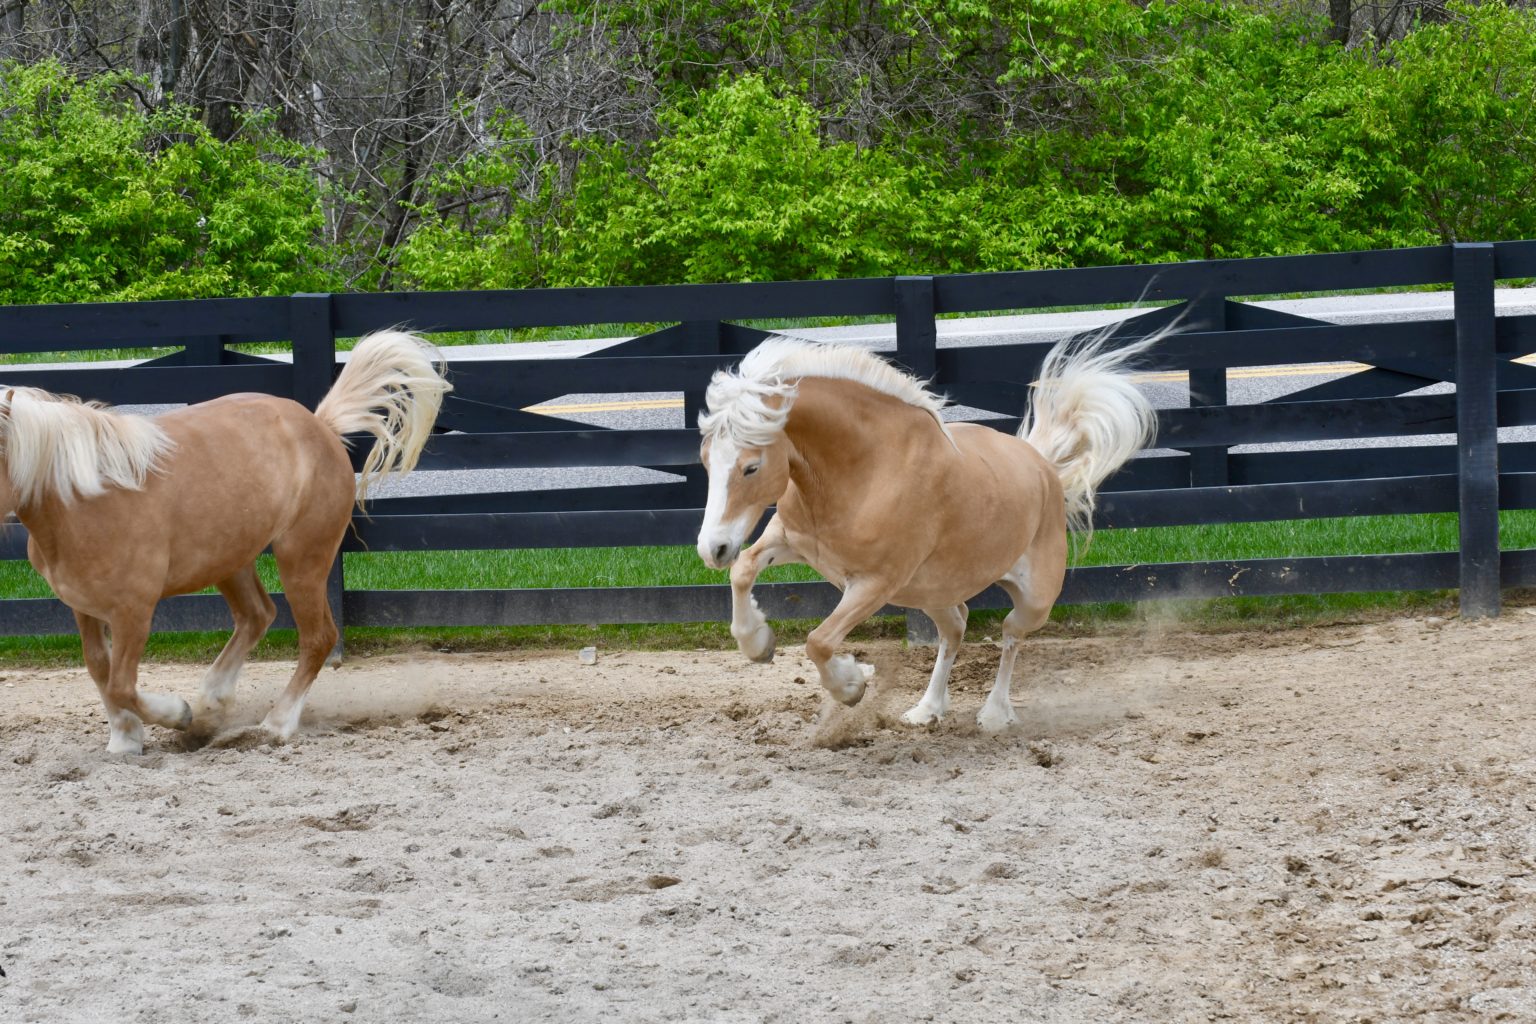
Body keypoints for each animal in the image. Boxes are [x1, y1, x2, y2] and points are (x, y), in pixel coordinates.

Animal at [0, 330, 451, 754]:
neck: (86, 499)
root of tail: (321, 425)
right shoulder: (83, 607)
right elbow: (99, 670)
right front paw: (126, 739)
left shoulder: (134, 611)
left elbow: (120, 683)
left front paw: (178, 714)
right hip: (230, 559)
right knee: (258, 615)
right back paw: (213, 700)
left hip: (302, 558)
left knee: (318, 637)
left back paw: (274, 724)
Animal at [694, 330, 1159, 732]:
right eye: (705, 459)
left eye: (751, 467)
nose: (711, 548)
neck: (866, 469)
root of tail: (1041, 463)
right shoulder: (791, 544)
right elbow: (744, 571)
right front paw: (758, 644)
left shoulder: (874, 583)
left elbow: (819, 641)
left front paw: (852, 685)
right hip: (931, 592)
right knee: (955, 629)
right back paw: (927, 709)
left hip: (1034, 600)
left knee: (1009, 634)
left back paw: (994, 714)